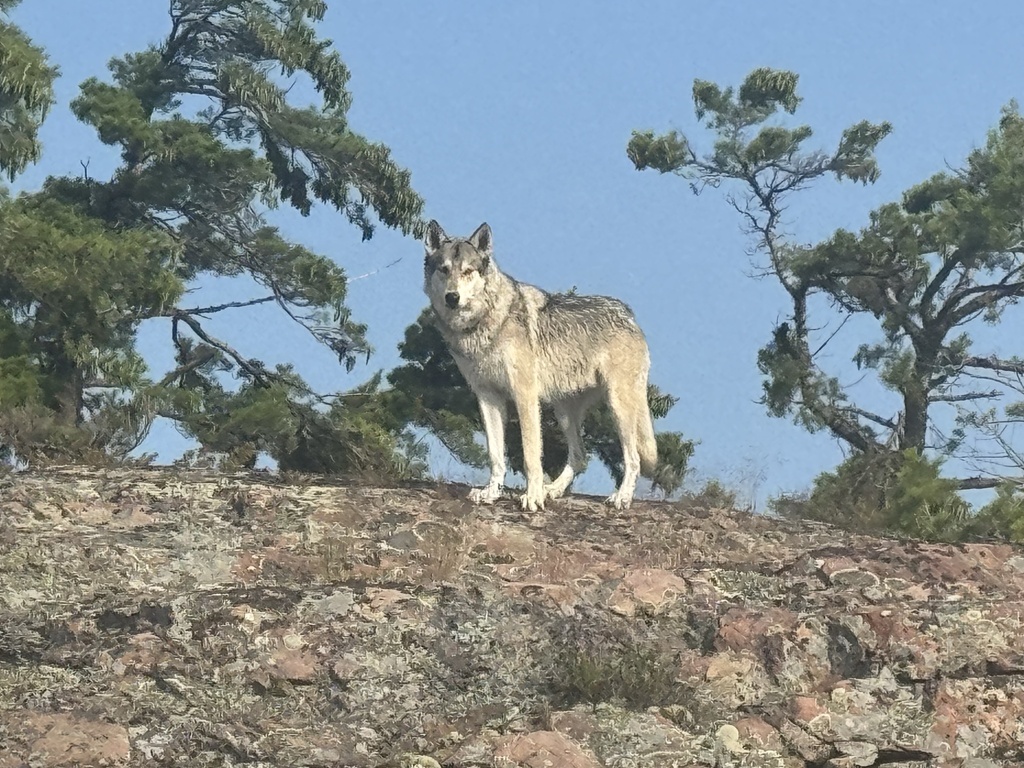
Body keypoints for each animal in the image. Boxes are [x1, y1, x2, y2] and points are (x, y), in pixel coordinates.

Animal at [422, 220, 658, 511]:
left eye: (467, 271)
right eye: (444, 269)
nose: (452, 297)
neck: (483, 324)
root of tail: (628, 314)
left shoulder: (525, 395)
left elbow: (531, 454)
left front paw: (532, 496)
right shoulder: (487, 397)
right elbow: (495, 455)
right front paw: (491, 493)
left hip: (617, 405)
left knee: (633, 457)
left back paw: (621, 497)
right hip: (564, 412)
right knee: (580, 456)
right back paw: (553, 490)